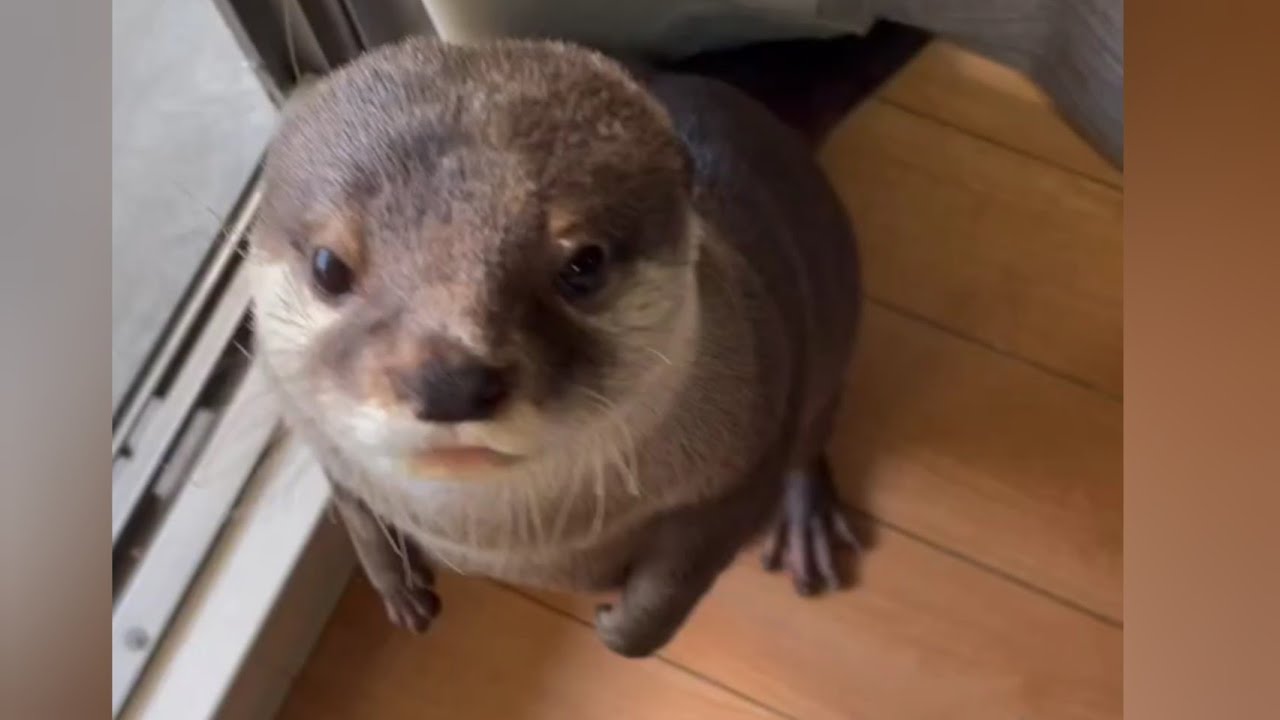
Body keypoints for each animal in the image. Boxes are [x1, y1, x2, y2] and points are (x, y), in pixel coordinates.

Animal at [249, 37, 861, 657]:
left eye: (583, 264)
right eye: (328, 266)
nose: (448, 385)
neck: (511, 541)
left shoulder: (750, 440)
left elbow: (686, 564)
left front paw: (625, 625)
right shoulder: (319, 440)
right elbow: (353, 509)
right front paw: (397, 586)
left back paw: (806, 522)